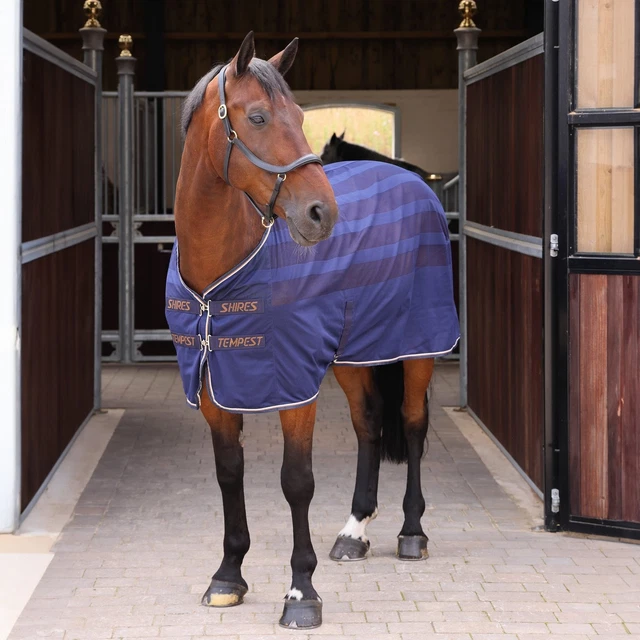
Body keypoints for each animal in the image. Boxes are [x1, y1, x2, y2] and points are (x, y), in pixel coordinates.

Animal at [166, 31, 459, 630]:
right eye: (257, 117)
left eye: (301, 115)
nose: (322, 214)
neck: (222, 273)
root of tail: (415, 183)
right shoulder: (212, 387)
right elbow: (229, 473)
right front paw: (228, 575)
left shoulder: (295, 387)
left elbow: (296, 482)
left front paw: (301, 592)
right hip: (352, 356)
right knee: (369, 424)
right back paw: (354, 531)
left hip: (418, 347)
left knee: (412, 425)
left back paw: (411, 532)